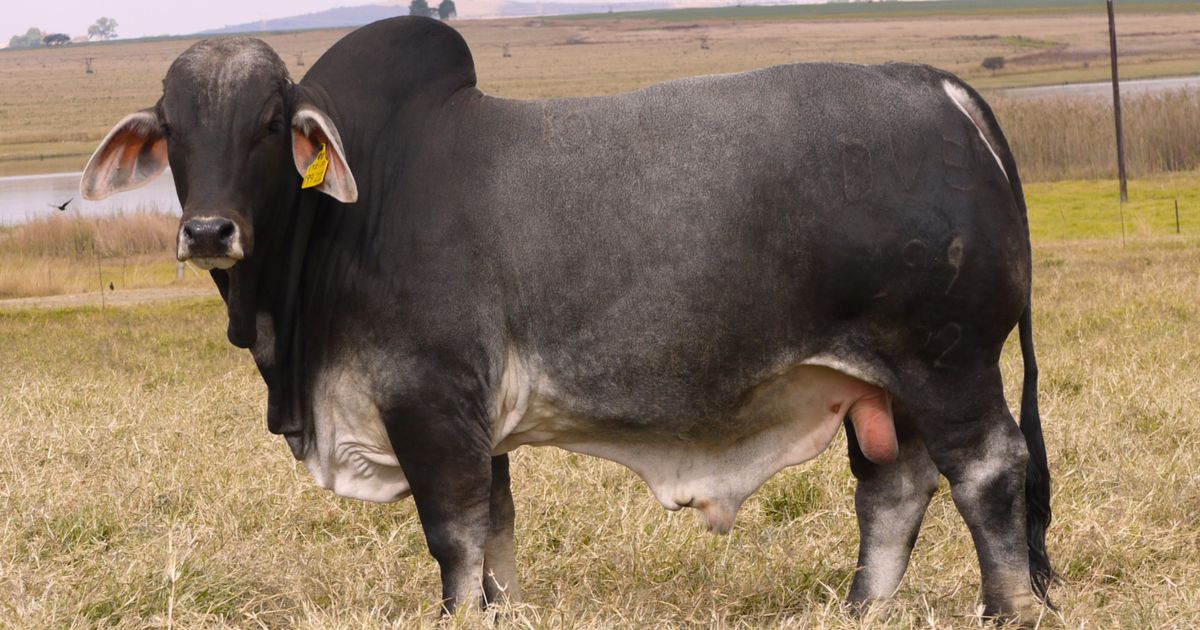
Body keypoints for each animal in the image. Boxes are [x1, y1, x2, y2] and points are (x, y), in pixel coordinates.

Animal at [81, 16, 1052, 624]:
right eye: (173, 130)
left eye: (268, 124)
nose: (209, 231)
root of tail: (937, 86)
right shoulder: (476, 427)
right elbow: (497, 538)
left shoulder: (429, 404)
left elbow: (455, 538)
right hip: (886, 382)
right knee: (895, 487)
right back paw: (860, 610)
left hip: (948, 360)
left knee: (986, 475)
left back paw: (1006, 610)